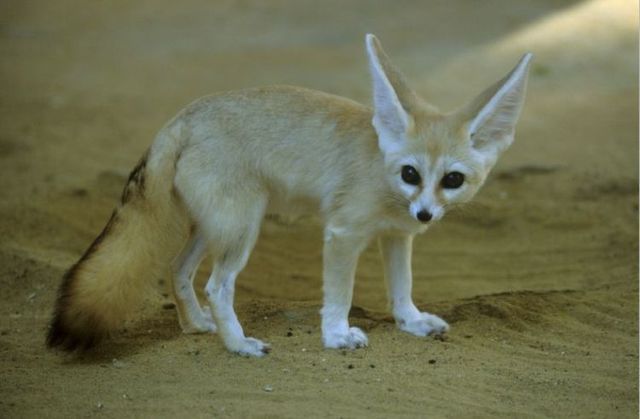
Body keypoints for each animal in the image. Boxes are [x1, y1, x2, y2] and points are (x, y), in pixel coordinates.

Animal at [47, 34, 532, 357]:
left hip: (215, 227)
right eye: (410, 173)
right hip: (242, 229)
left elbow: (402, 287)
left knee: (178, 269)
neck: (382, 167)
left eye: (453, 179)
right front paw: (336, 335)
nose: (426, 214)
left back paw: (198, 325)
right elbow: (339, 293)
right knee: (216, 285)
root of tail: (183, 116)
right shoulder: (343, 234)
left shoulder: (397, 236)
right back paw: (238, 344)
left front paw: (410, 322)